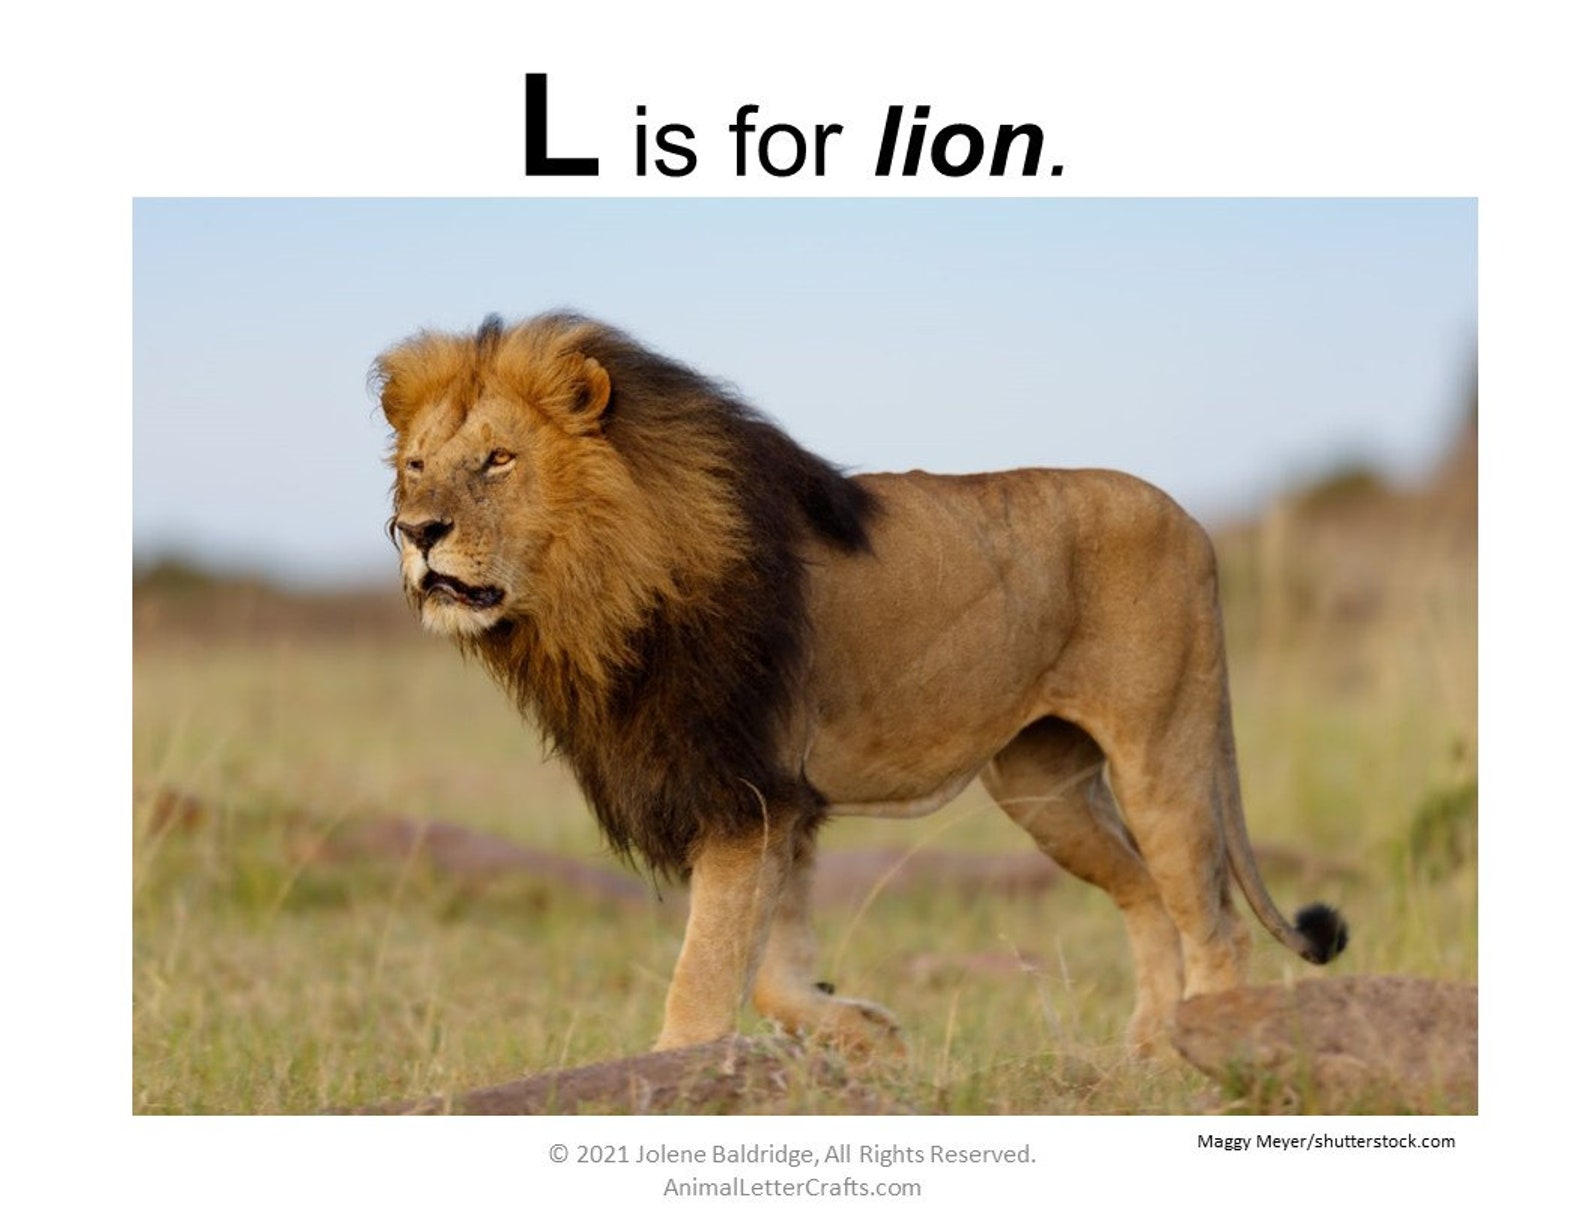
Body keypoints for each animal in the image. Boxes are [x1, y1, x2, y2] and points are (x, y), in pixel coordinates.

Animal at [372, 312, 1347, 1055]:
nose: (414, 531)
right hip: (1045, 786)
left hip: (1159, 753)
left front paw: (675, 1070)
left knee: (1213, 919)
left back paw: (1204, 1055)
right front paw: (866, 1029)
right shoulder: (777, 797)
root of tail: (1196, 523)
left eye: (498, 459)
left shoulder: (743, 789)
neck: (601, 591)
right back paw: (1144, 1050)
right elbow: (771, 964)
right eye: (418, 464)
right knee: (1146, 894)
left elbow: (705, 973)